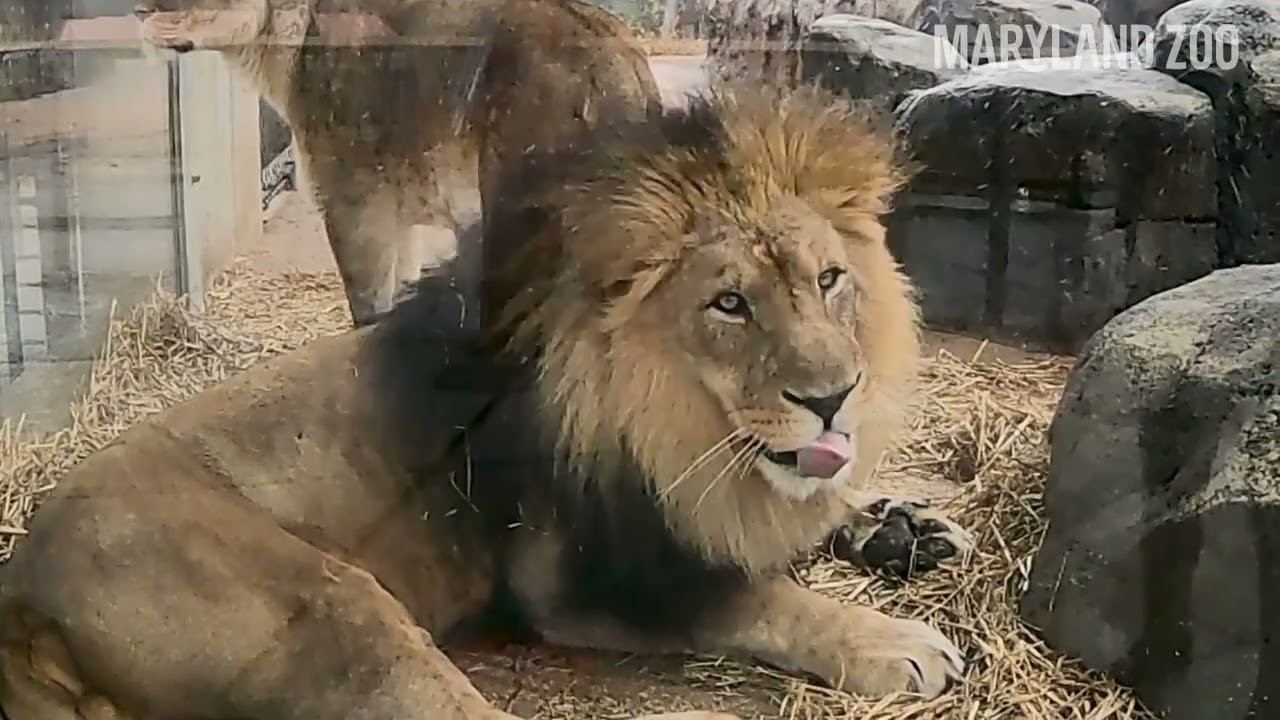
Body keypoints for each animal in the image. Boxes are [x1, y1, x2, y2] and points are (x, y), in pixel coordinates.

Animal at [0, 82, 972, 720]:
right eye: (729, 303)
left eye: (829, 280)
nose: (835, 395)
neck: (675, 425)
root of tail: (23, 587)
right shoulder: (570, 583)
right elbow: (749, 597)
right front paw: (890, 640)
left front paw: (900, 525)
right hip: (330, 606)